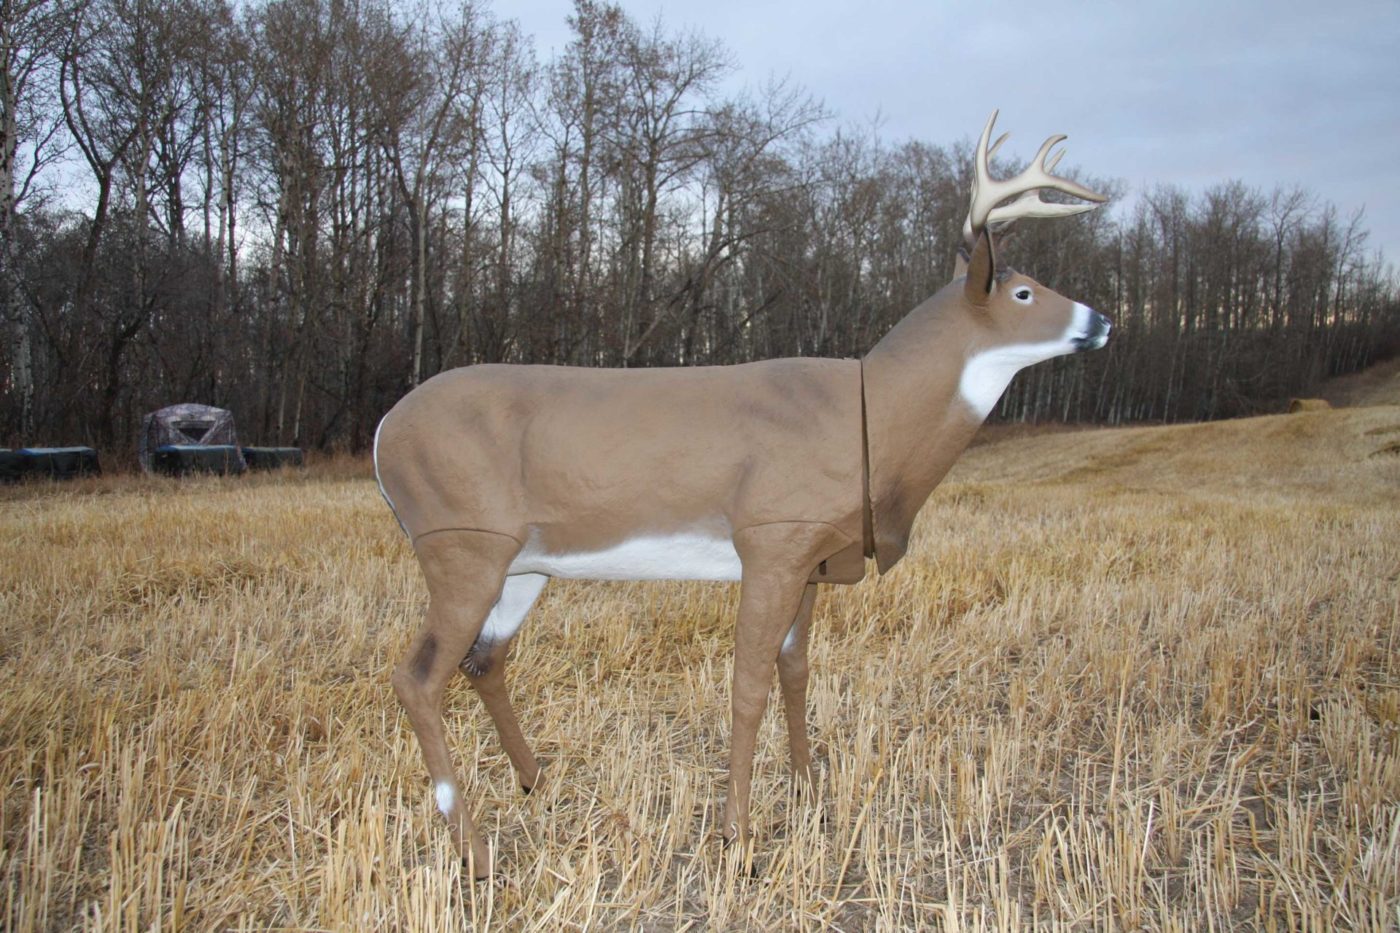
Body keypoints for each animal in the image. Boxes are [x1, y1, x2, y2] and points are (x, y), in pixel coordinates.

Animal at [373, 110, 1111, 879]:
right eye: (1024, 291)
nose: (1100, 321)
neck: (868, 417)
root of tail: (382, 432)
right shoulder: (772, 539)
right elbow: (747, 685)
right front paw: (738, 837)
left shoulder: (813, 559)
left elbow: (796, 670)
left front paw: (811, 787)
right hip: (461, 544)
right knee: (416, 676)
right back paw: (474, 848)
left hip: (524, 563)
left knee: (483, 660)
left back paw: (534, 781)